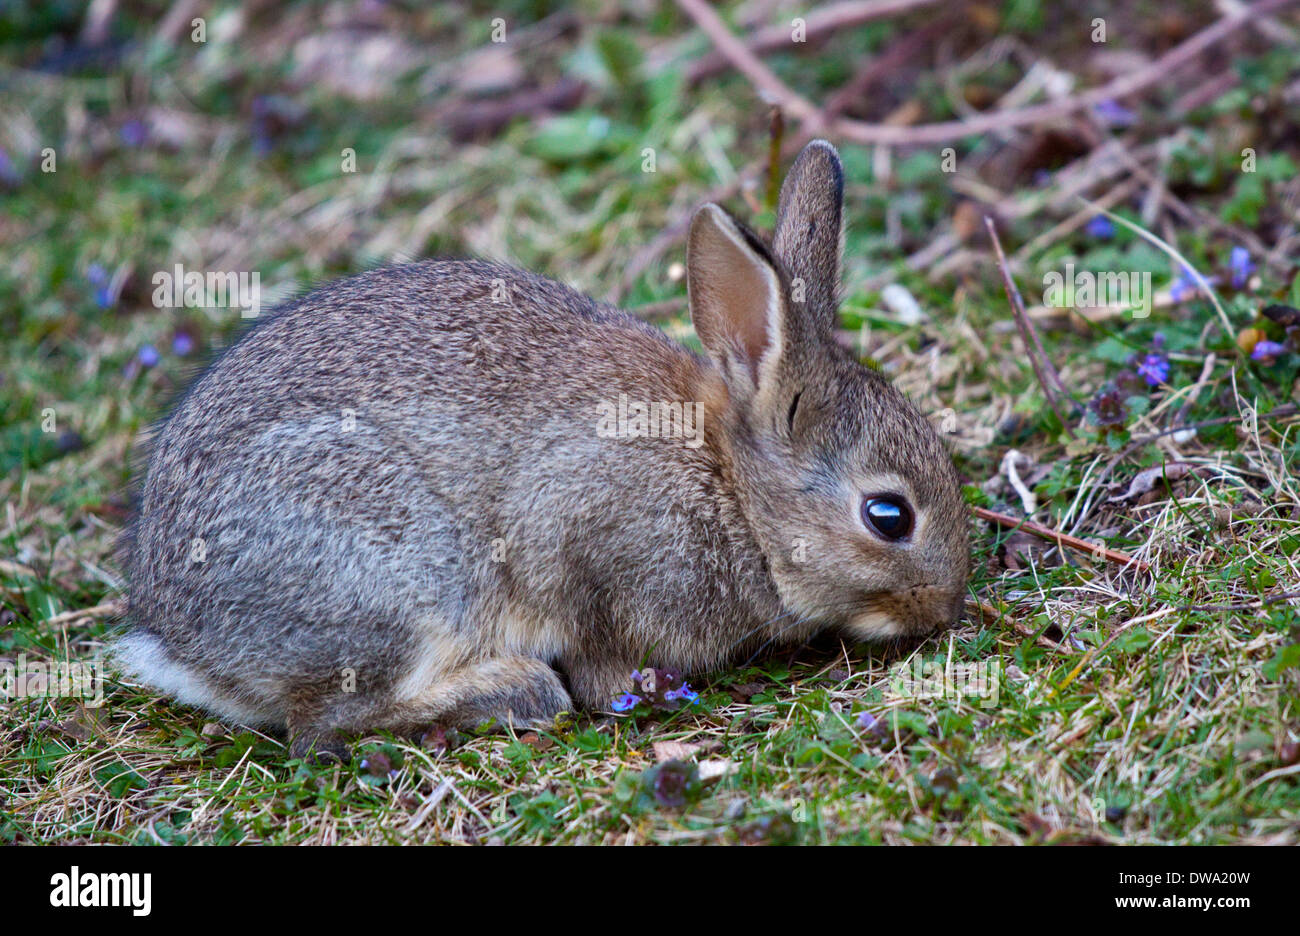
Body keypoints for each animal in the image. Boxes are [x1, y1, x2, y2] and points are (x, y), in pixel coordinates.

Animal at [113, 139, 970, 757]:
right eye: (889, 516)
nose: (948, 607)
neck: (730, 486)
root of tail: (182, 643)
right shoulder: (581, 543)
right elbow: (599, 653)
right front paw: (638, 687)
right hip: (391, 570)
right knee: (321, 724)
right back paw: (514, 689)